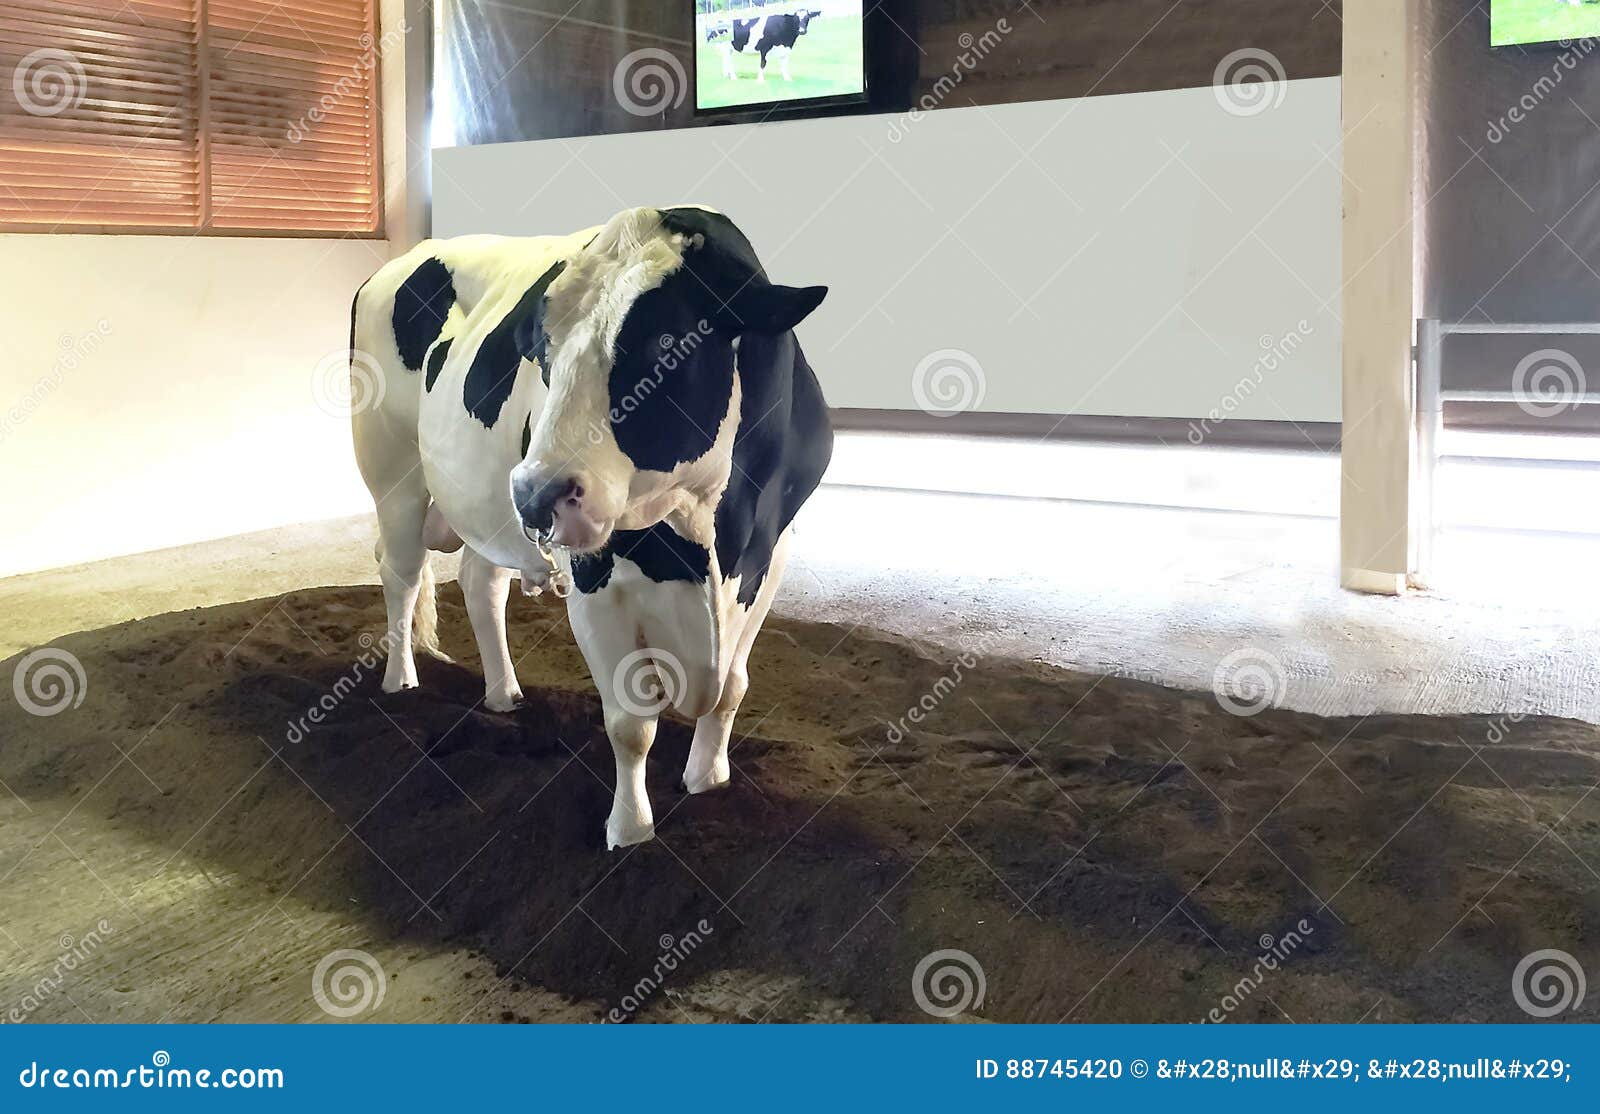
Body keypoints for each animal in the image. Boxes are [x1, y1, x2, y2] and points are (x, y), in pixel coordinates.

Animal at [350, 207, 833, 849]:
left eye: (667, 343)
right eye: (543, 354)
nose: (534, 495)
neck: (708, 535)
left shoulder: (767, 559)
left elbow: (731, 688)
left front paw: (708, 778)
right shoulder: (594, 582)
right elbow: (631, 722)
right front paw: (630, 829)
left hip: (484, 500)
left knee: (481, 584)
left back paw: (503, 693)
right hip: (392, 469)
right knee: (401, 574)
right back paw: (400, 678)